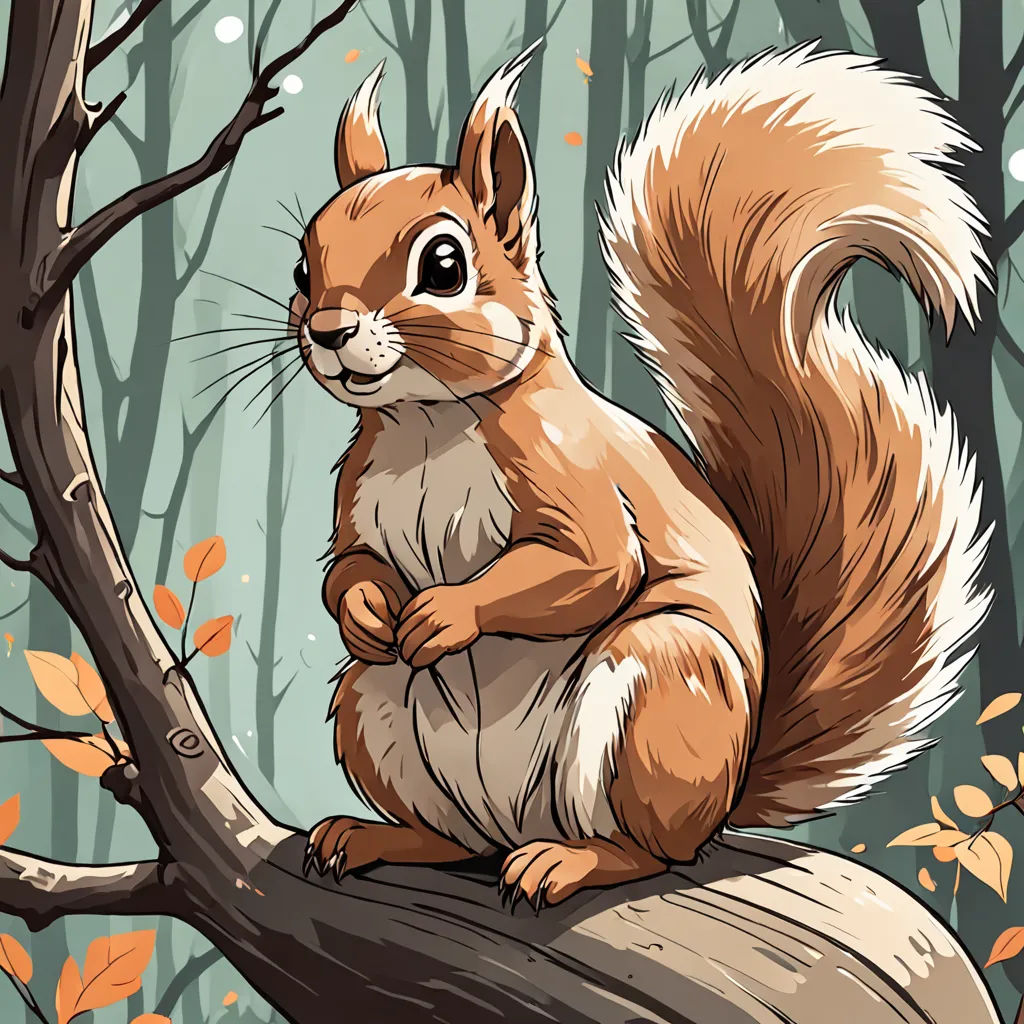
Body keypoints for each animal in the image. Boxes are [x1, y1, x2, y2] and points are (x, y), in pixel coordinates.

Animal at [293, 41, 993, 909]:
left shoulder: (575, 475)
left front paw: (446, 613)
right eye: (303, 265)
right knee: (453, 840)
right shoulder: (355, 494)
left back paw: (569, 863)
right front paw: (368, 609)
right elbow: (347, 566)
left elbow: (592, 569)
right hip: (371, 705)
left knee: (652, 851)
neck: (427, 428)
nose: (328, 330)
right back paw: (374, 836)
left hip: (660, 686)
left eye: (445, 265)